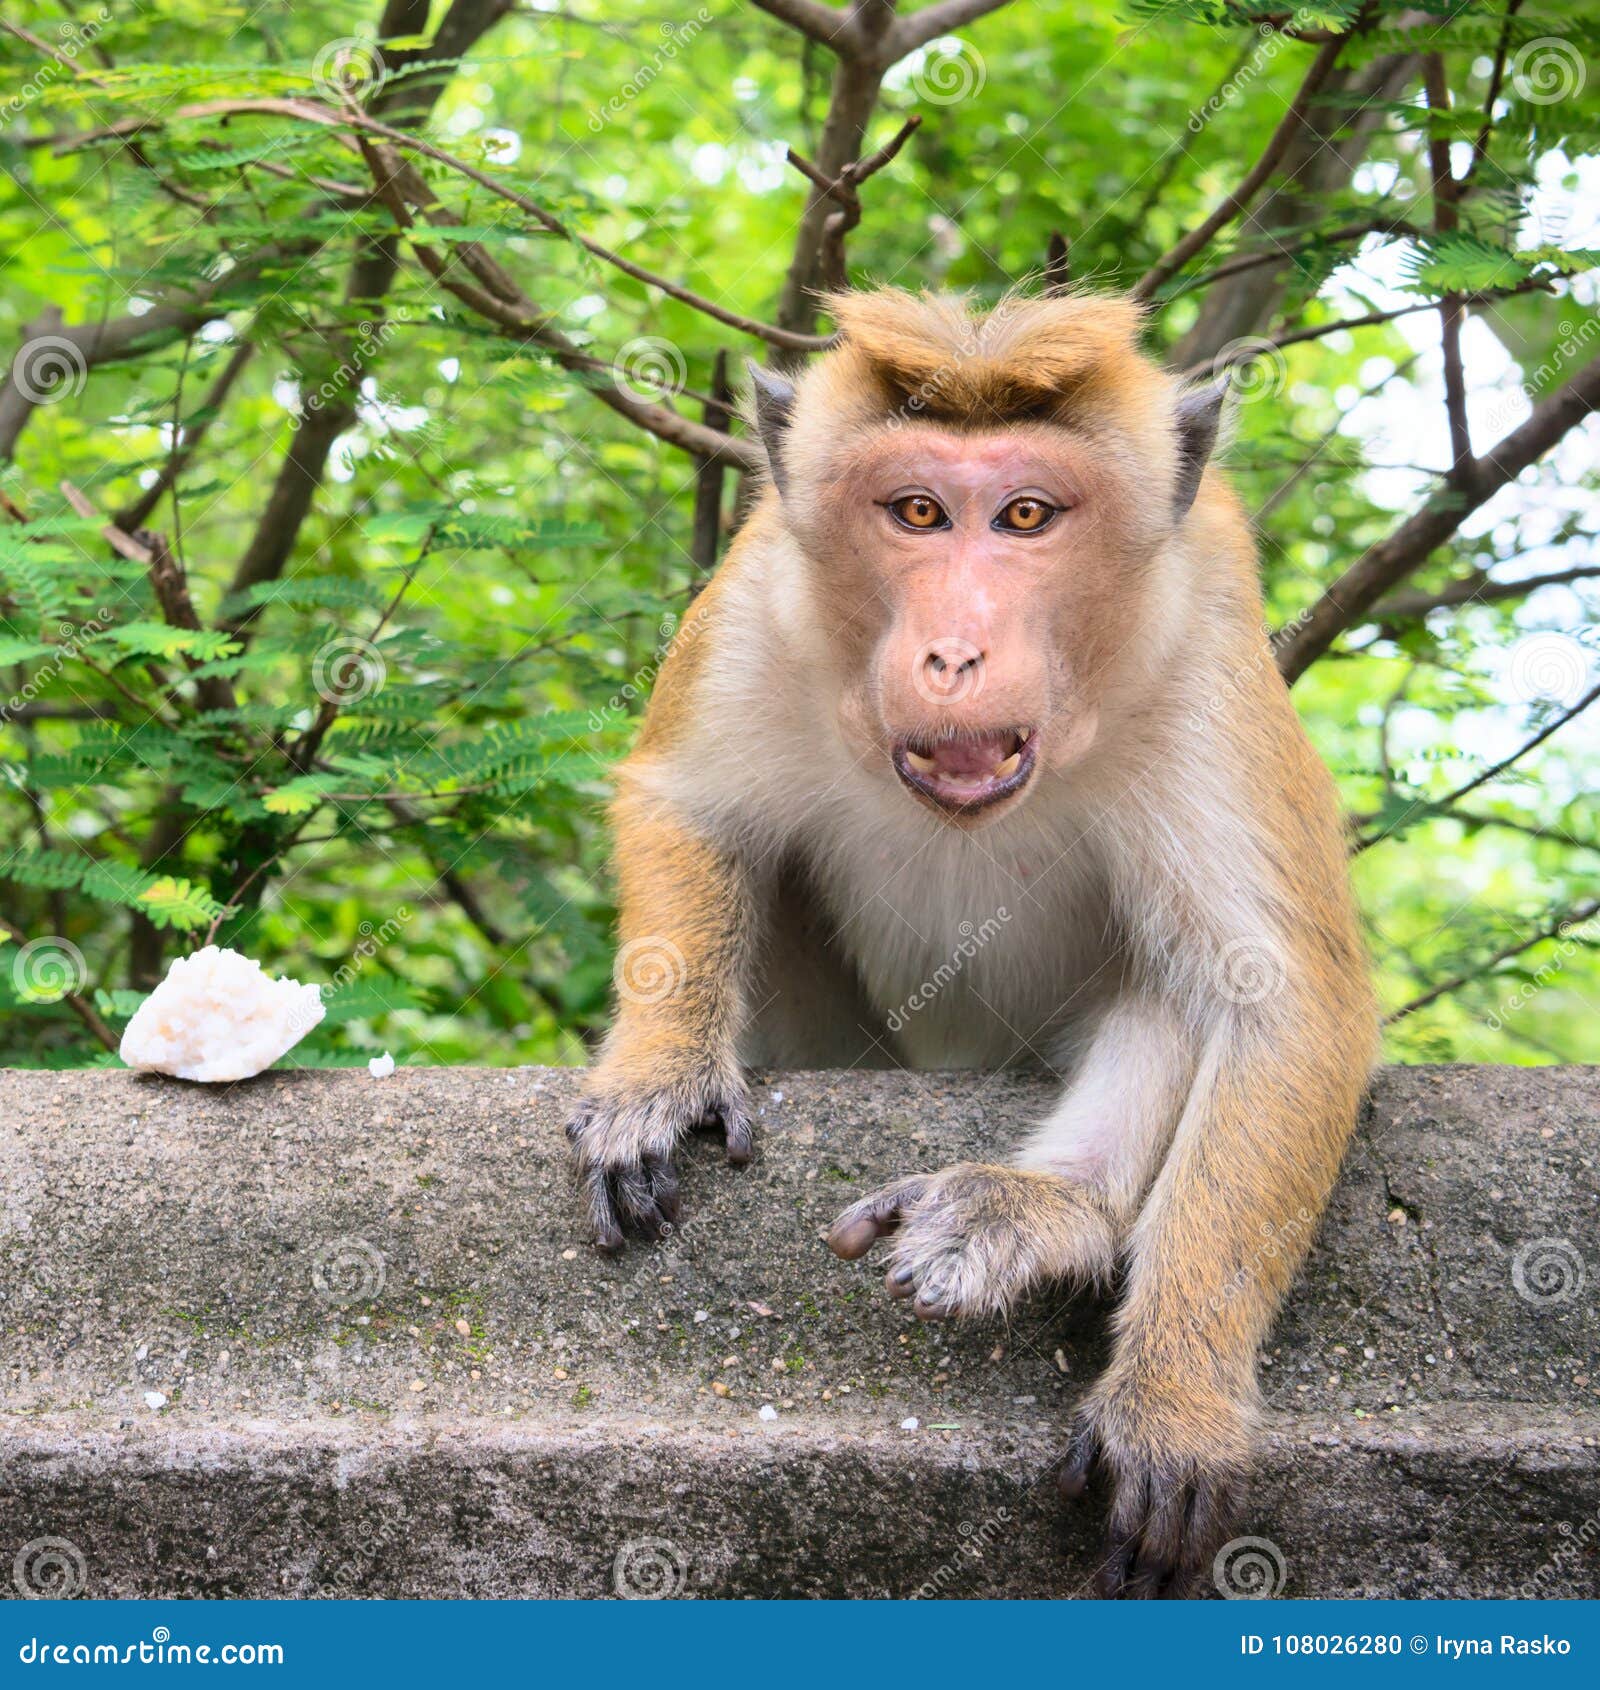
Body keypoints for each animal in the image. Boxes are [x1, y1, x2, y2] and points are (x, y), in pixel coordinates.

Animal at [565, 287, 1376, 1598]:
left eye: (1028, 516)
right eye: (915, 512)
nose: (954, 652)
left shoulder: (1205, 640)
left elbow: (1282, 996)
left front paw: (1175, 1397)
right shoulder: (756, 596)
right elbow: (692, 807)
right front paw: (658, 1078)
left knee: (1173, 984)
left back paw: (1041, 1212)